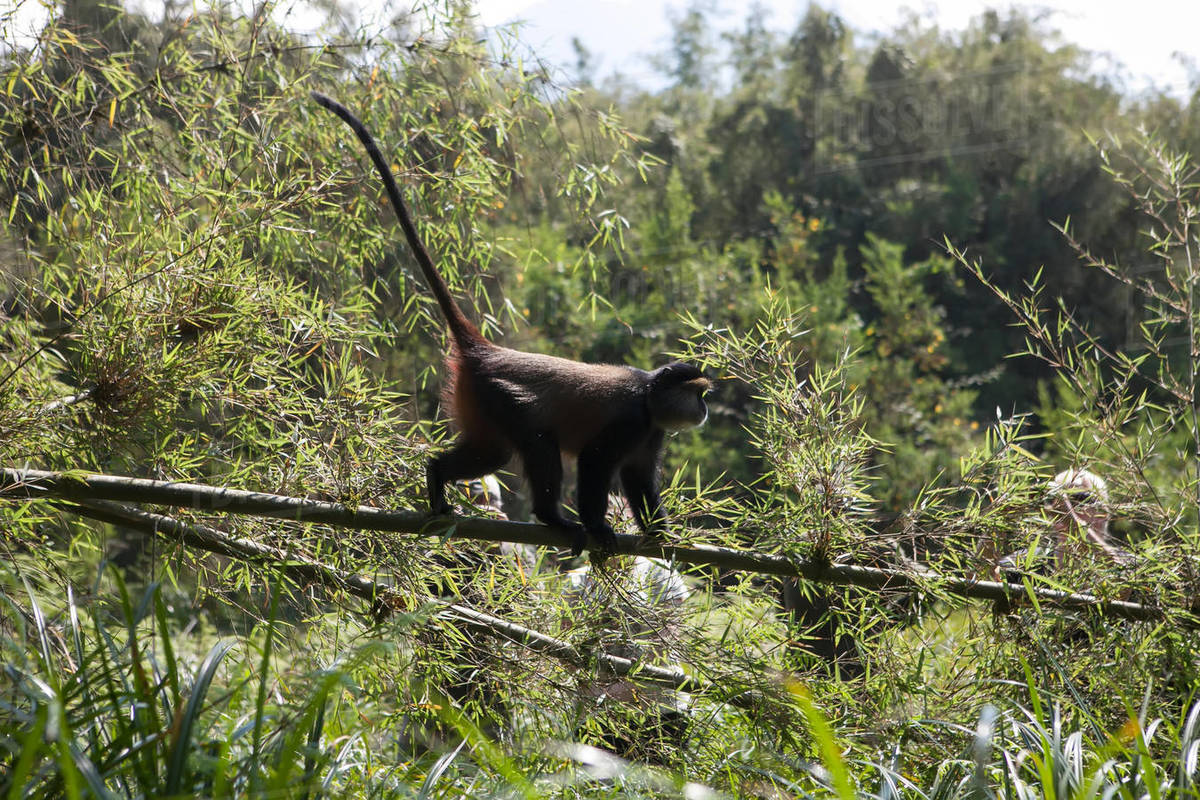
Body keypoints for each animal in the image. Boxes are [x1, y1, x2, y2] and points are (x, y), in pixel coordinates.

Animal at [311, 92, 711, 555]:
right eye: (699, 394)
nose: (705, 408)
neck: (648, 396)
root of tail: (487, 351)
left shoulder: (651, 434)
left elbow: (638, 479)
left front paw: (662, 536)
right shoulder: (629, 421)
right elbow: (594, 462)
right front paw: (598, 527)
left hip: (480, 403)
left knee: (493, 454)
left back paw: (436, 474)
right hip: (501, 395)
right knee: (539, 442)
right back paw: (551, 517)